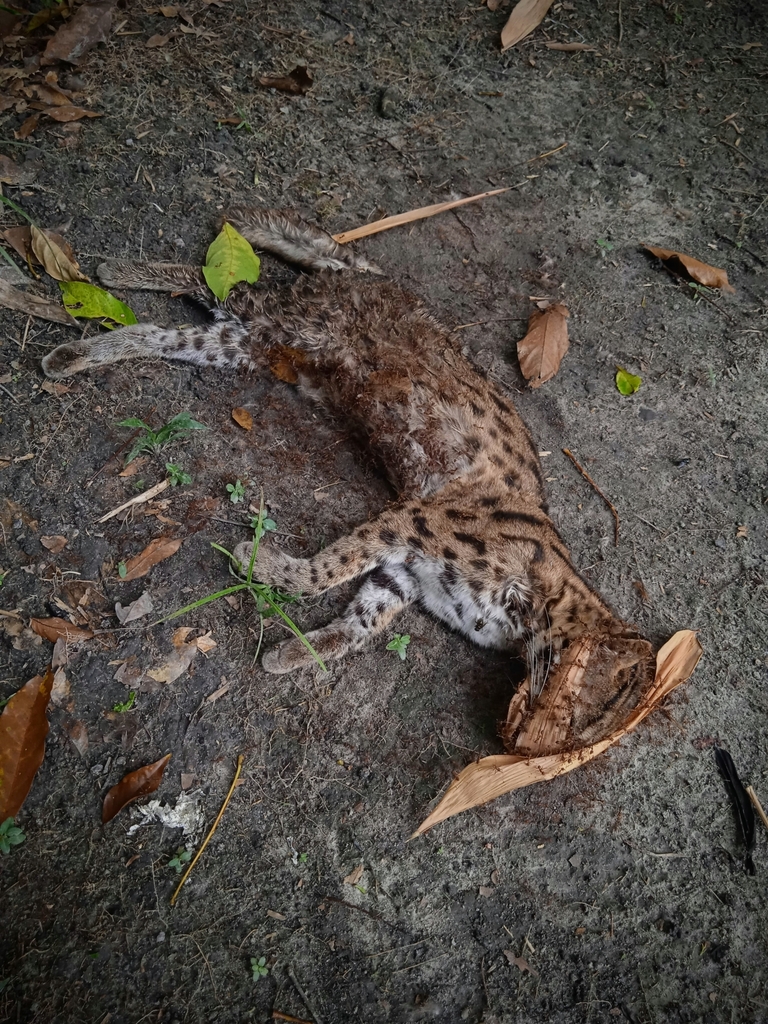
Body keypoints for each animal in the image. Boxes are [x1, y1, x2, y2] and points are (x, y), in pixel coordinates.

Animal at [42, 207, 653, 726]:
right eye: (589, 705)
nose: (546, 722)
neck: (526, 618)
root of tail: (385, 279)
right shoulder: (410, 519)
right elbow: (328, 570)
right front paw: (267, 565)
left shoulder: (407, 572)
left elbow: (363, 619)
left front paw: (298, 651)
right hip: (293, 320)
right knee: (219, 279)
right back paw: (112, 272)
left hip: (254, 345)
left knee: (173, 328)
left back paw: (81, 351)